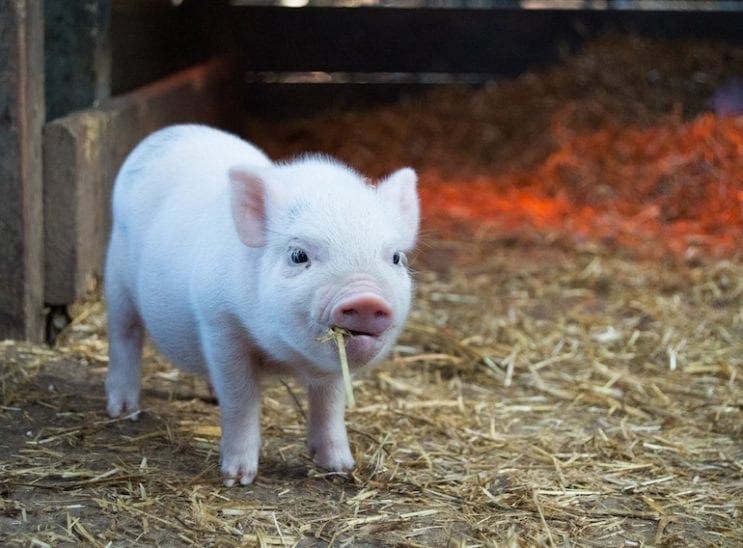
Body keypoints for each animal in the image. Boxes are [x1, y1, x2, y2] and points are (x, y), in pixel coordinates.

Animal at [104, 124, 419, 486]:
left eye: (396, 258)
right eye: (298, 255)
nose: (366, 298)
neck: (283, 357)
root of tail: (167, 132)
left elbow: (330, 402)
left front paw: (341, 467)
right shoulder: (219, 324)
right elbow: (241, 400)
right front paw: (237, 478)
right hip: (116, 278)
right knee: (124, 336)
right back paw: (122, 411)